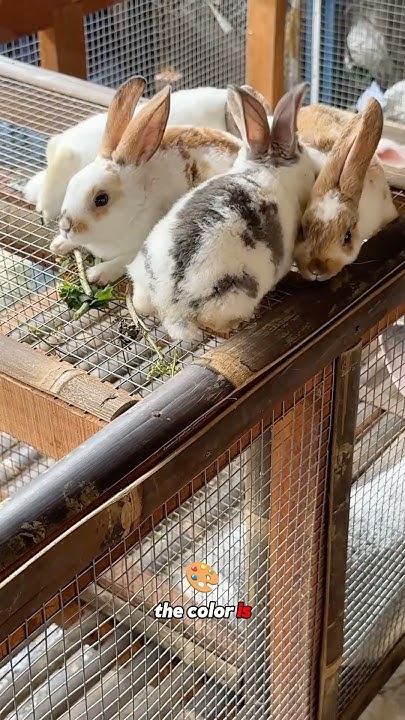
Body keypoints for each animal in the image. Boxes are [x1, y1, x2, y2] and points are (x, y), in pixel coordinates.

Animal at [49, 77, 241, 286]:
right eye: (72, 183)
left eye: (101, 199)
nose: (65, 226)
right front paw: (58, 244)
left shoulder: (138, 248)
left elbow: (124, 261)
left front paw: (97, 273)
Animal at [128, 82, 318, 343]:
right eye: (301, 152)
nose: (316, 172)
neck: (266, 169)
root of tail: (170, 305)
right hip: (235, 293)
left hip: (142, 278)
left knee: (140, 302)